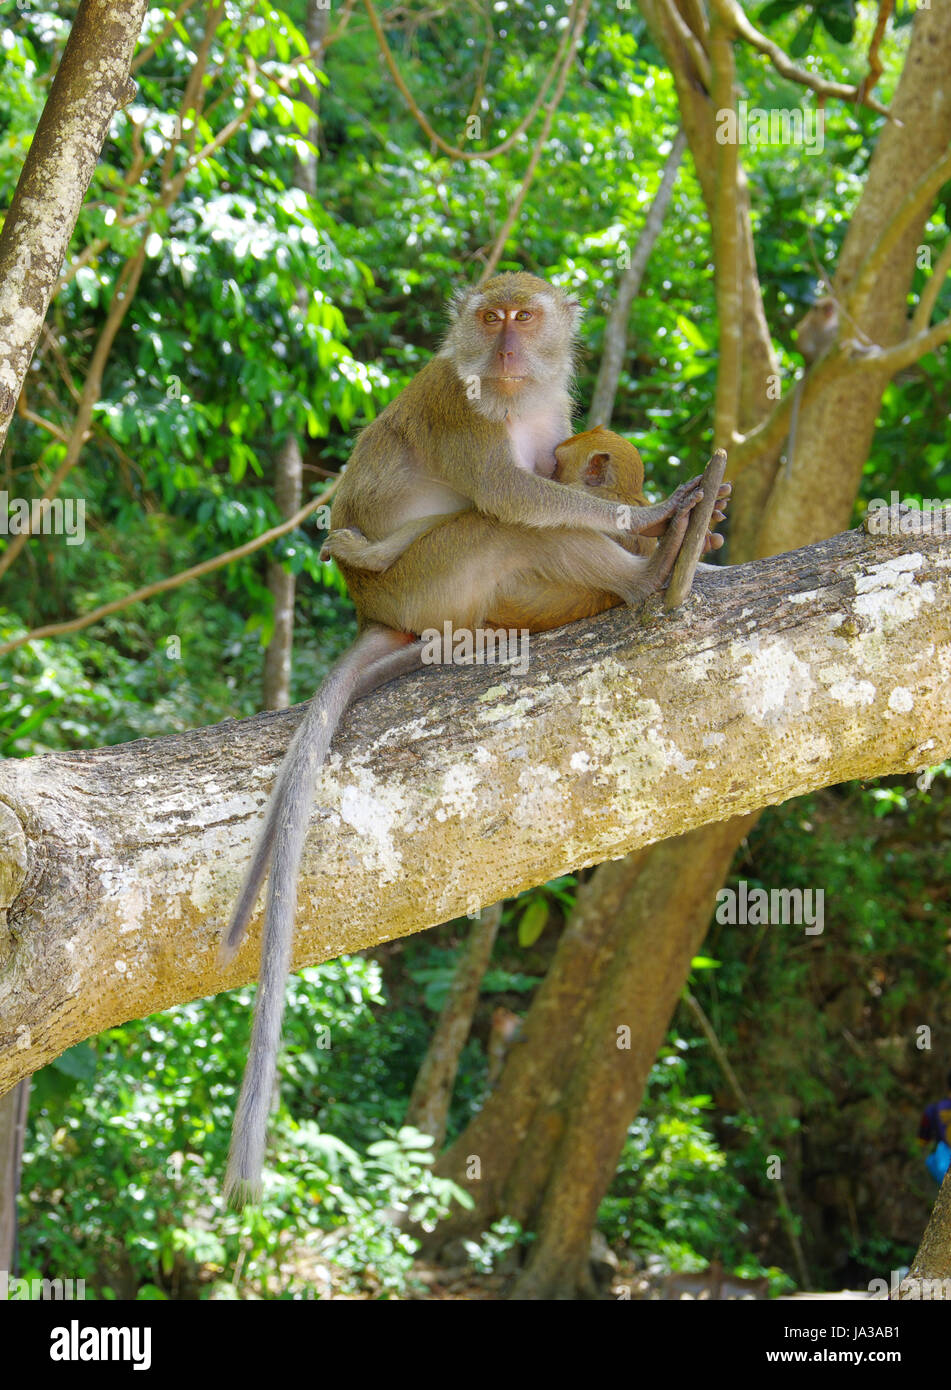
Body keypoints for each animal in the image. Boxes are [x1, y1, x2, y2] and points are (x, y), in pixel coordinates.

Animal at [220, 272, 732, 1206]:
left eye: (522, 317)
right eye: (490, 317)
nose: (503, 345)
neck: (513, 397)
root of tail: (378, 610)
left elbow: (542, 484)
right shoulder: (465, 415)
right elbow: (514, 494)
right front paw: (651, 515)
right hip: (429, 580)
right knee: (499, 526)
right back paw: (649, 571)